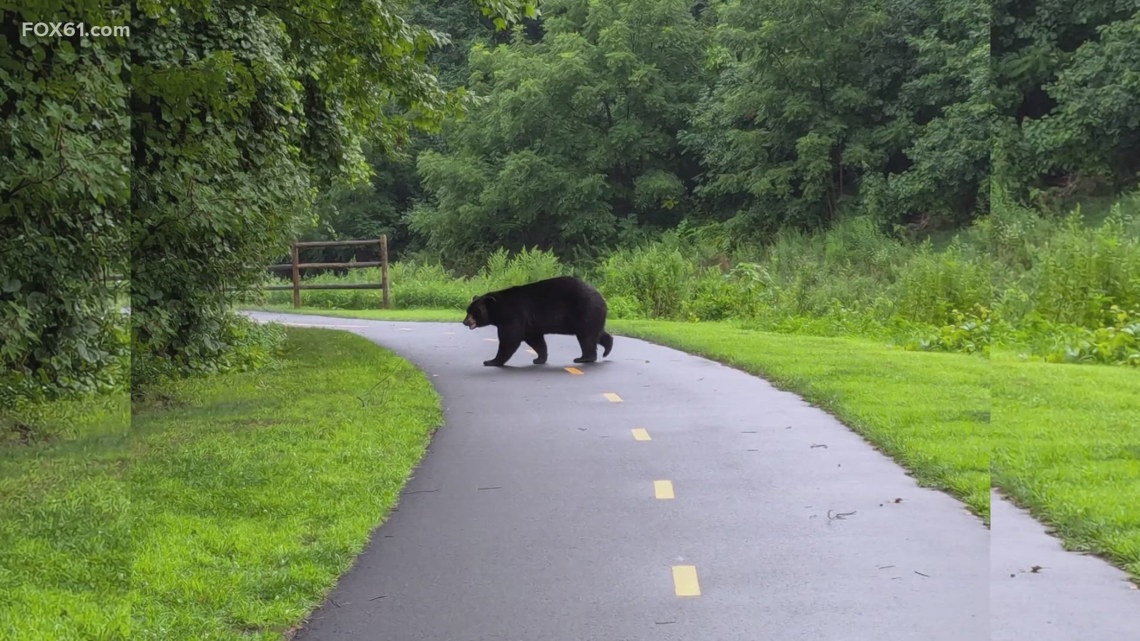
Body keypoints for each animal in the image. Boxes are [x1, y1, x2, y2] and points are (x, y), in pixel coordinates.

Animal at [463, 276, 614, 367]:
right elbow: (535, 339)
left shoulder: (514, 316)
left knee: (586, 337)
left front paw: (491, 361)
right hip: (591, 316)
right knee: (596, 334)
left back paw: (584, 358)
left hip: (584, 312)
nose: (464, 322)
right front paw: (539, 358)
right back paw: (607, 349)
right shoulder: (529, 323)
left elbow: (509, 339)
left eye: (472, 312)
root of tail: (602, 299)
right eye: (467, 311)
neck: (499, 309)